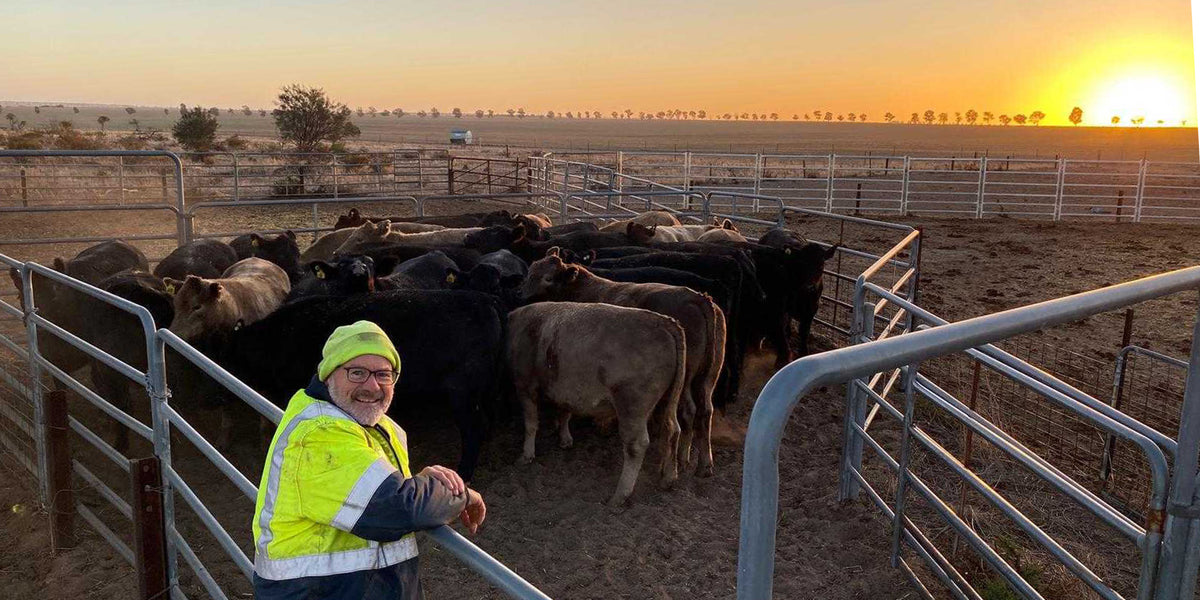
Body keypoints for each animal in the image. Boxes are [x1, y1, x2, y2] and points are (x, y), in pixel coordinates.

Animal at [507, 301, 686, 506]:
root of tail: (664, 321)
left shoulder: (524, 384)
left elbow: (530, 423)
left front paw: (525, 457)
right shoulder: (563, 389)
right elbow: (564, 412)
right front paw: (565, 440)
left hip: (632, 403)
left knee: (636, 444)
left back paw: (619, 496)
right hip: (667, 399)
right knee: (673, 429)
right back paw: (668, 479)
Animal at [521, 248, 726, 476]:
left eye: (547, 278)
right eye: (531, 269)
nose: (522, 296)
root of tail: (699, 298)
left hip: (687, 378)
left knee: (689, 411)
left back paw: (682, 459)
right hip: (709, 376)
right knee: (705, 410)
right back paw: (704, 463)